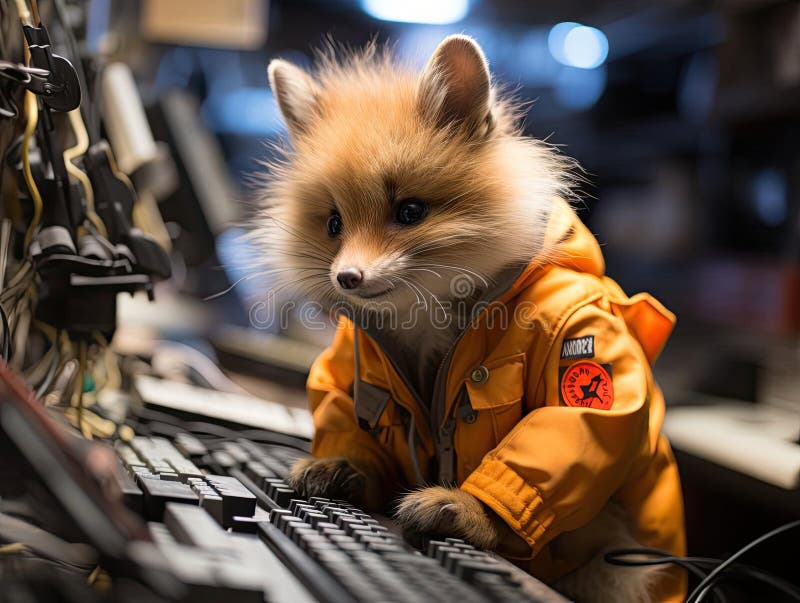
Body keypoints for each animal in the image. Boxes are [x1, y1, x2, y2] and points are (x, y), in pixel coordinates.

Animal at [256, 35, 685, 603]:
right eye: (332, 224)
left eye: (410, 212)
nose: (346, 277)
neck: (432, 321)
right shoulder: (350, 365)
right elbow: (346, 418)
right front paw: (344, 466)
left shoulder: (579, 346)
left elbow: (559, 437)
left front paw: (467, 511)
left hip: (618, 567)